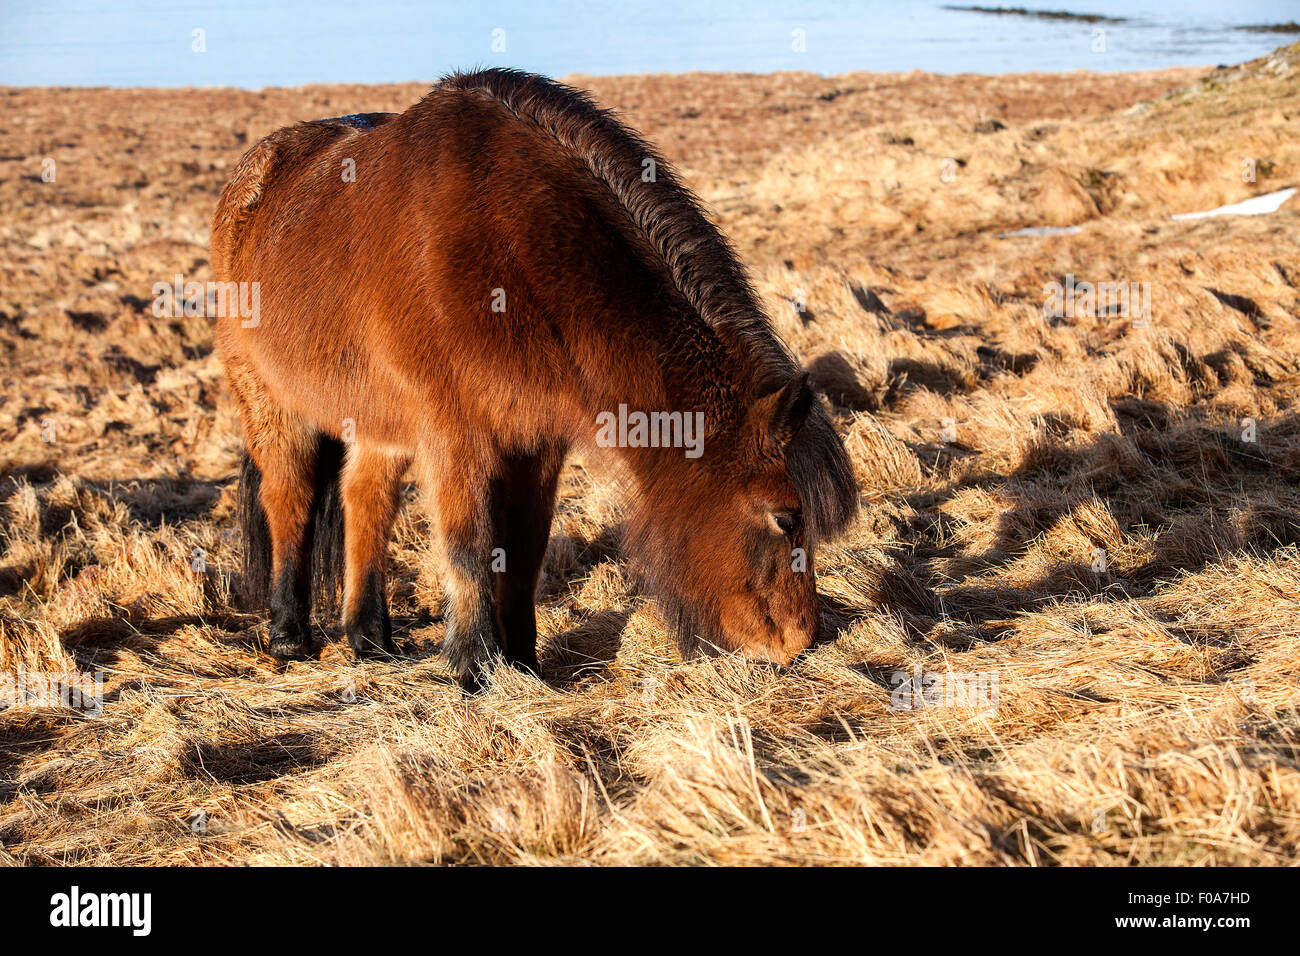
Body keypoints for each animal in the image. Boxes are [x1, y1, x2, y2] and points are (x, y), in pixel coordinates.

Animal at [210, 69, 857, 689]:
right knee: (289, 498)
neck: (517, 248)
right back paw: (289, 634)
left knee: (365, 499)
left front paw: (522, 663)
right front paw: (473, 667)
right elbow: (470, 547)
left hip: (374, 418)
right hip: (268, 400)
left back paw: (370, 639)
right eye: (786, 517)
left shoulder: (538, 440)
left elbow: (523, 548)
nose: (799, 643)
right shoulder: (456, 437)